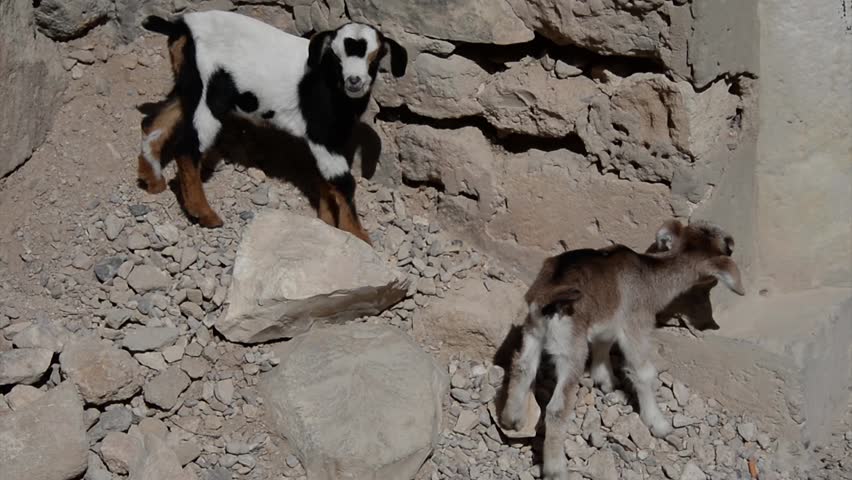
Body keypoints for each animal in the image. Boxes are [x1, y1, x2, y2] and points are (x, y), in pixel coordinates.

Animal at [136, 11, 407, 244]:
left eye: (376, 58)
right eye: (336, 56)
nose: (354, 81)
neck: (330, 83)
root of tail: (182, 27)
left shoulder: (332, 141)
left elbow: (326, 181)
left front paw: (328, 225)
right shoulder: (320, 133)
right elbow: (342, 182)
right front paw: (359, 237)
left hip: (188, 85)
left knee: (153, 123)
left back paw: (152, 180)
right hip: (210, 94)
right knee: (187, 147)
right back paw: (204, 214)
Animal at [500, 219, 745, 480]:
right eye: (726, 248)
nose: (732, 242)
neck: (650, 276)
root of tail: (549, 296)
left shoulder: (609, 322)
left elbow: (603, 345)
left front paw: (605, 380)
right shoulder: (635, 326)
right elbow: (644, 373)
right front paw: (658, 424)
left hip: (533, 332)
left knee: (522, 367)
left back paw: (511, 419)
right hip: (571, 350)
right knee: (556, 408)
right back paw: (556, 469)